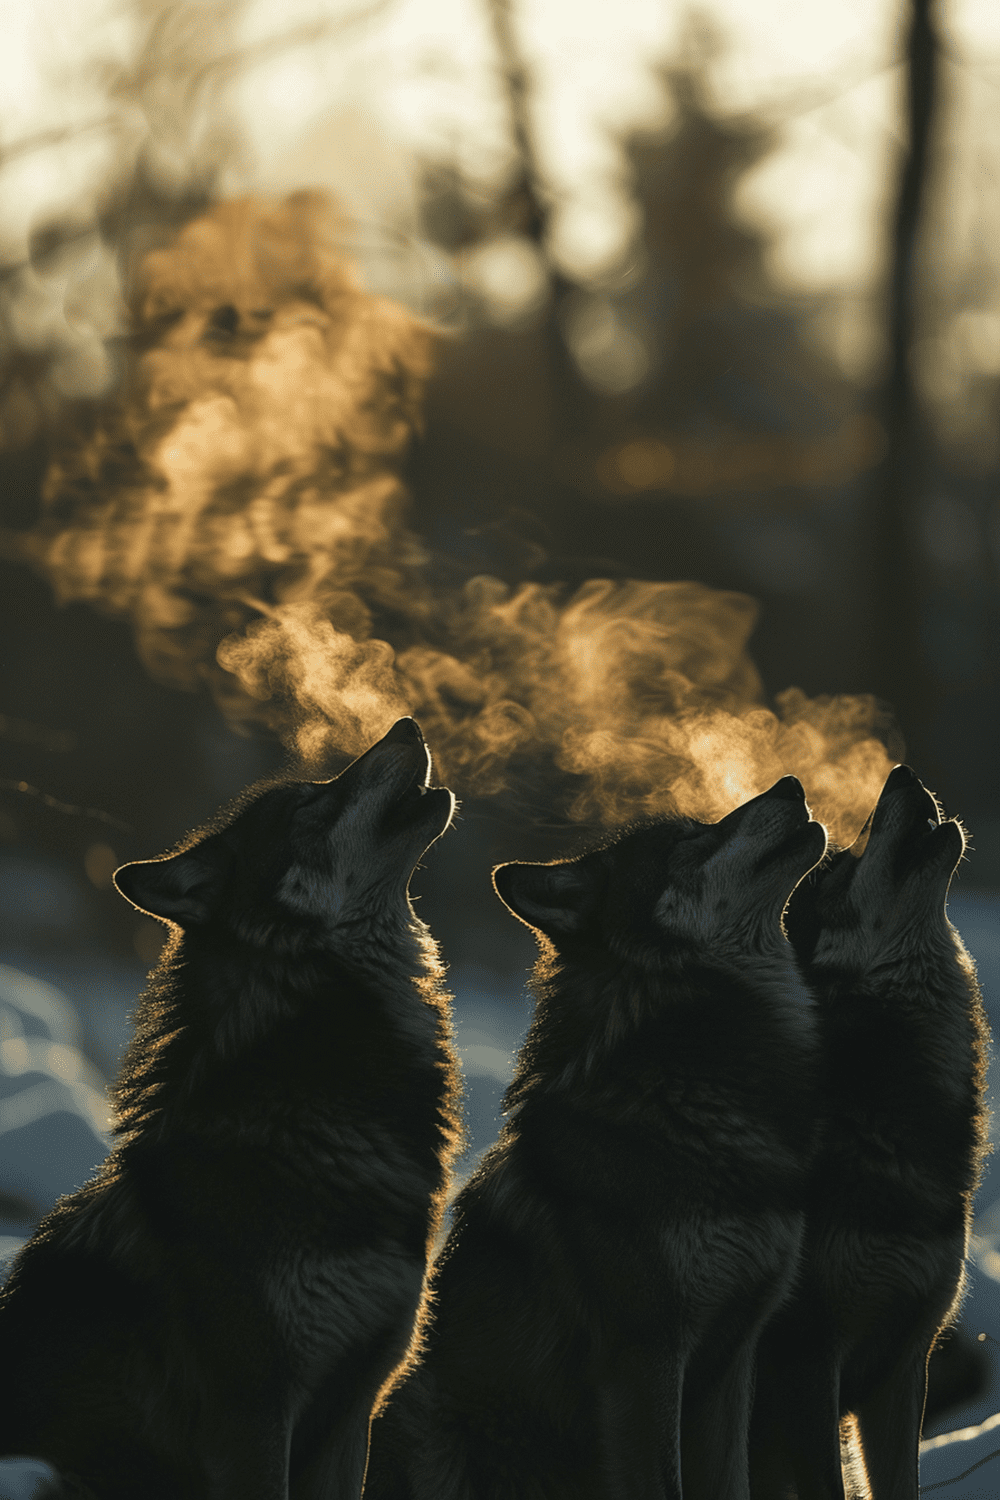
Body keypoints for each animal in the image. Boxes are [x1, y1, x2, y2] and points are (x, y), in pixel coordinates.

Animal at [364, 776, 827, 1500]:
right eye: (691, 840)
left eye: (702, 824)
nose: (790, 783)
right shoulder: (645, 1357)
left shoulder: (733, 1360)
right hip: (422, 1416)